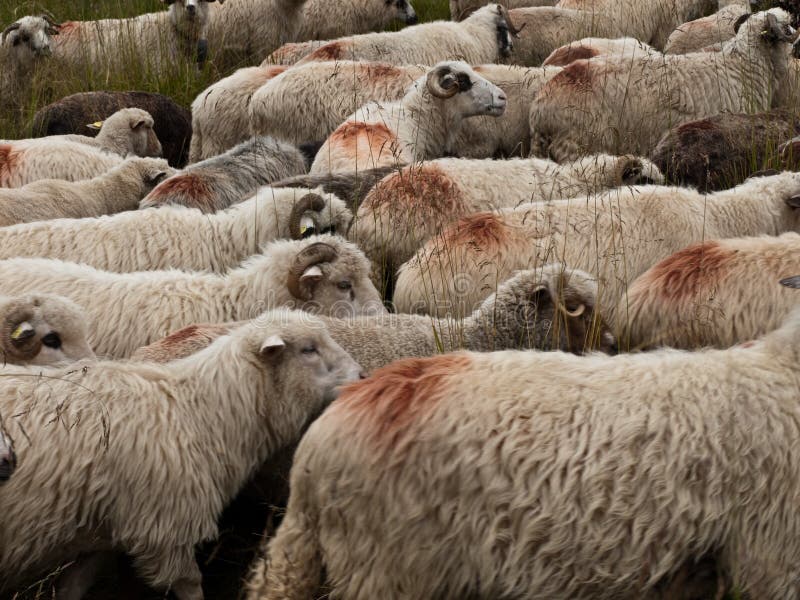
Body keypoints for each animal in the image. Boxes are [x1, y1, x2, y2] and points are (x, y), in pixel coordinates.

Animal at [0, 309, 363, 599]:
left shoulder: (100, 533)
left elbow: (72, 587)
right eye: (309, 349)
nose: (361, 377)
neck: (199, 409)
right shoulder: (166, 529)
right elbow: (190, 584)